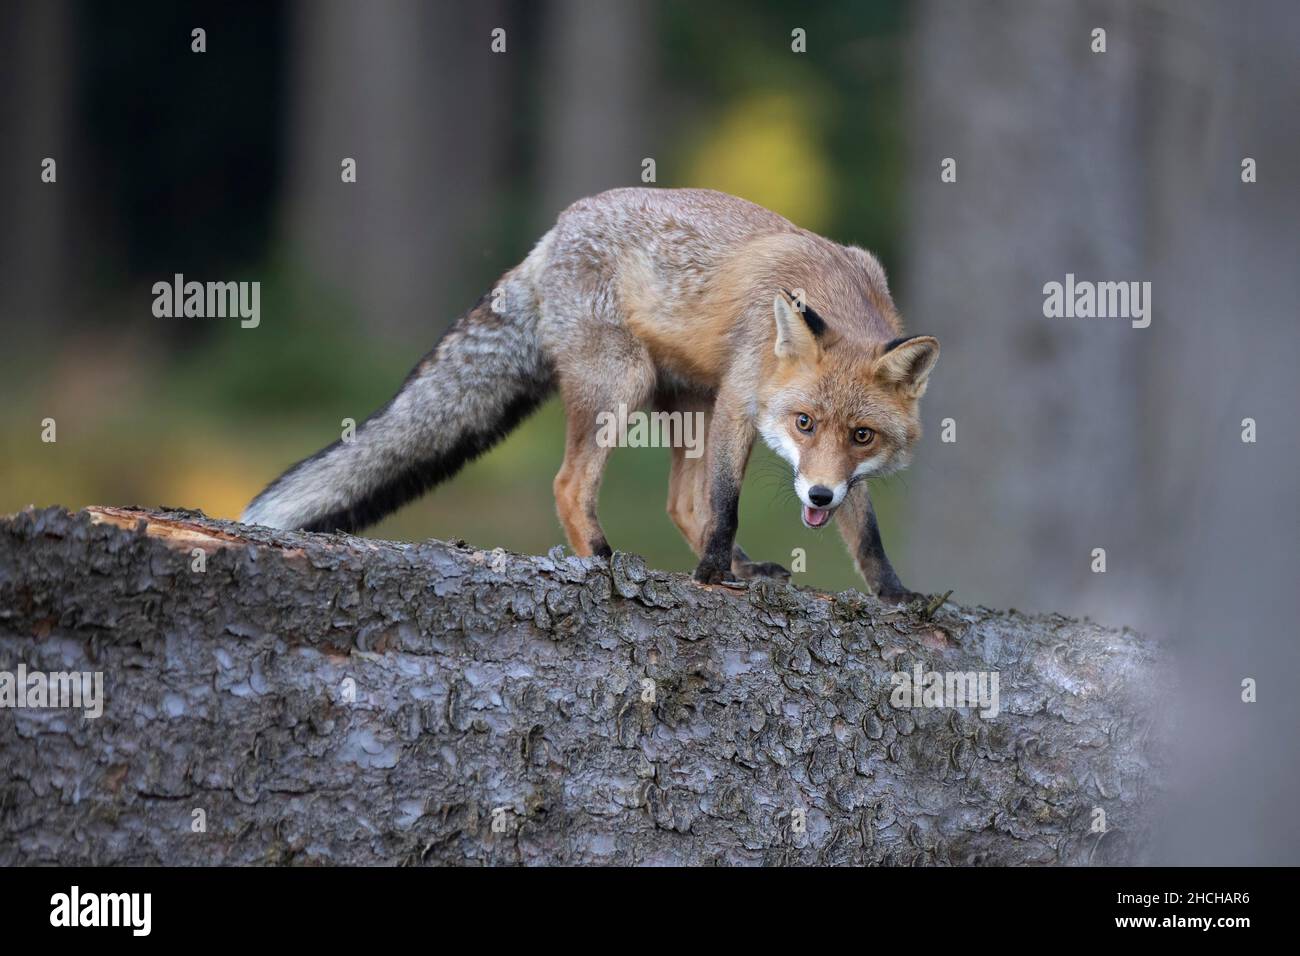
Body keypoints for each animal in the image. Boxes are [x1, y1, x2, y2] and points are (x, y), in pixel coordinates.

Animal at [242, 188, 939, 602]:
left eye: (862, 435)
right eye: (802, 423)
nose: (816, 496)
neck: (832, 286)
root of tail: (553, 231)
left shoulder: (827, 463)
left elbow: (865, 531)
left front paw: (896, 595)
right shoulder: (743, 399)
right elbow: (728, 503)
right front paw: (712, 573)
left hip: (690, 404)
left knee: (680, 504)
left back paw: (732, 568)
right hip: (625, 385)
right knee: (571, 484)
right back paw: (605, 561)